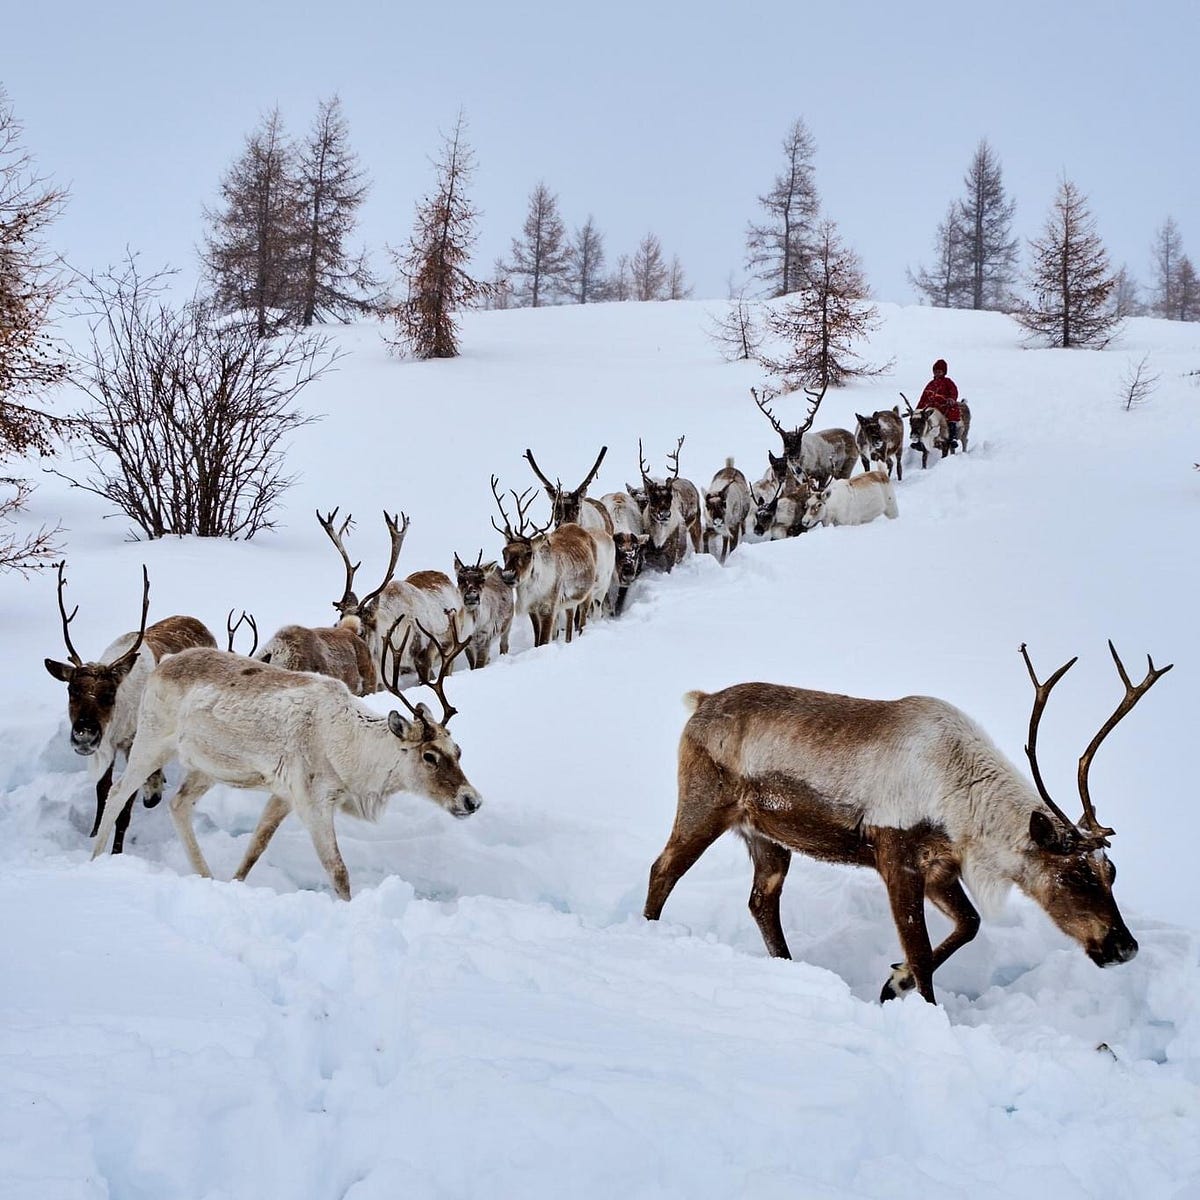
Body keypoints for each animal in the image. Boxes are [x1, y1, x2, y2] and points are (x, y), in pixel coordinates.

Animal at [44, 562, 217, 855]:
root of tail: (198, 623)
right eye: (71, 690)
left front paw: (116, 851)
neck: (118, 723)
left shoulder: (134, 744)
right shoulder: (108, 746)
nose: (84, 735)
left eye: (109, 694)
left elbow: (124, 807)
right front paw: (93, 833)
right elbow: (103, 791)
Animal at [91, 616, 482, 900]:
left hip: (206, 766)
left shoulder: (283, 795)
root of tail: (165, 663)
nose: (472, 800)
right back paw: (94, 859)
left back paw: (205, 875)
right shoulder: (313, 801)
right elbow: (338, 870)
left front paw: (234, 882)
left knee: (179, 804)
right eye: (429, 756)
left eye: (458, 751)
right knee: (118, 791)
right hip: (152, 740)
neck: (351, 755)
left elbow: (256, 846)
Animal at [491, 477, 599, 647]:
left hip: (587, 593)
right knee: (570, 616)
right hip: (568, 602)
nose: (508, 576)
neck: (532, 590)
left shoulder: (549, 607)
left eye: (529, 553)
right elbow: (537, 641)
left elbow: (543, 640)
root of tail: (579, 528)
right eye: (504, 552)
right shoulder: (532, 609)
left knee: (581, 620)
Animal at [644, 642, 1171, 1005]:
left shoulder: (940, 866)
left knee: (761, 900)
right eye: (1074, 874)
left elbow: (970, 924)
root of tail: (700, 702)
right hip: (704, 806)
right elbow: (920, 950)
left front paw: (893, 982)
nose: (1125, 947)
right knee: (663, 868)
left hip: (767, 836)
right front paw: (921, 1005)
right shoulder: (896, 855)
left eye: (1111, 872)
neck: (962, 799)